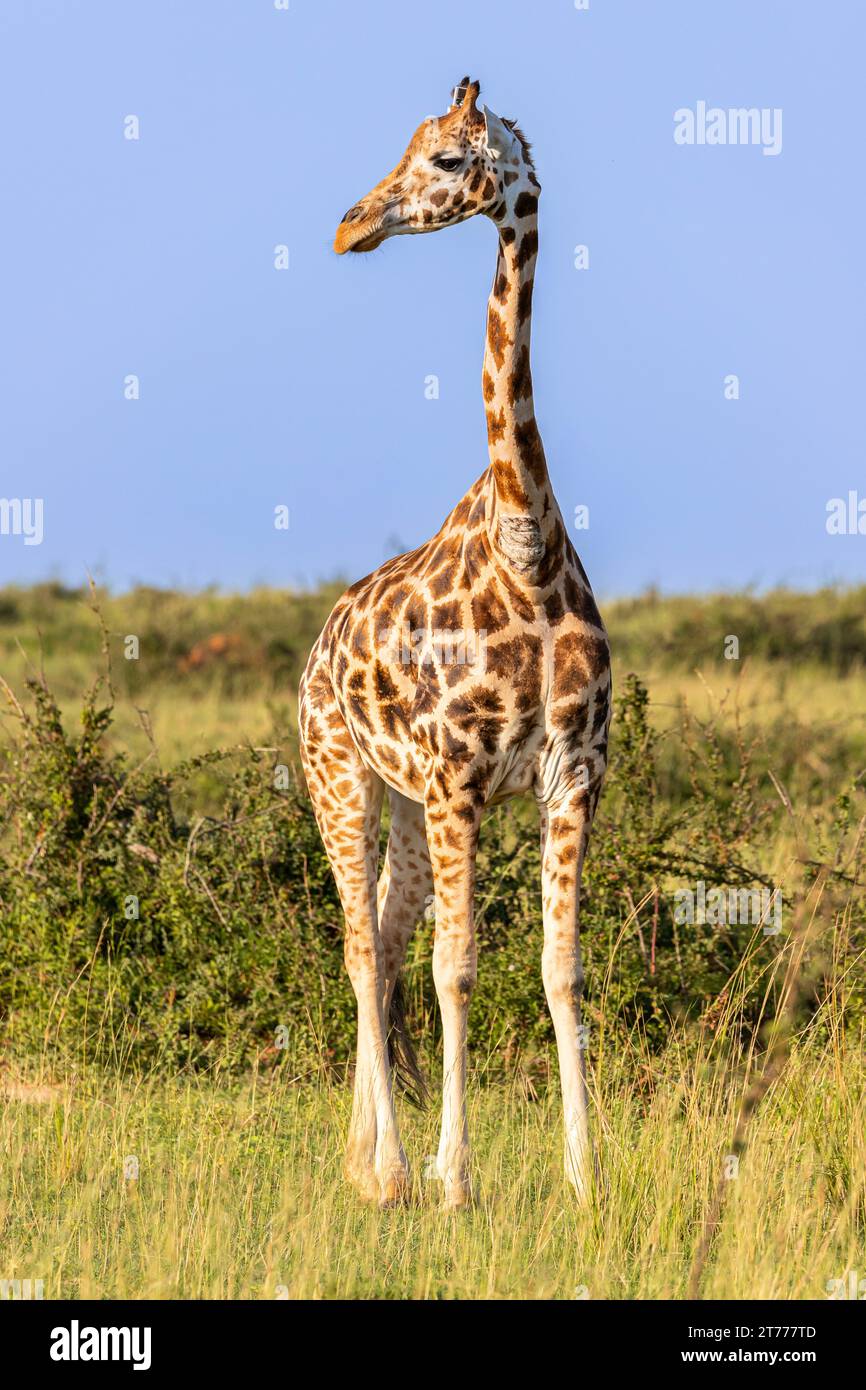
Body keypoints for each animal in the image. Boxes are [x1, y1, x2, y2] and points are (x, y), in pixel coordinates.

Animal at [298, 78, 611, 1209]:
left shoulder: (571, 774)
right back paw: (389, 1170)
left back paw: (359, 1156)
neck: (528, 545)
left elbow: (559, 971)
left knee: (384, 941)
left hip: (397, 800)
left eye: (441, 158)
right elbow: (459, 969)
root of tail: (316, 650)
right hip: (340, 776)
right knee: (359, 947)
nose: (350, 225)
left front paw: (581, 1179)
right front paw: (453, 1177)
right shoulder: (458, 779)